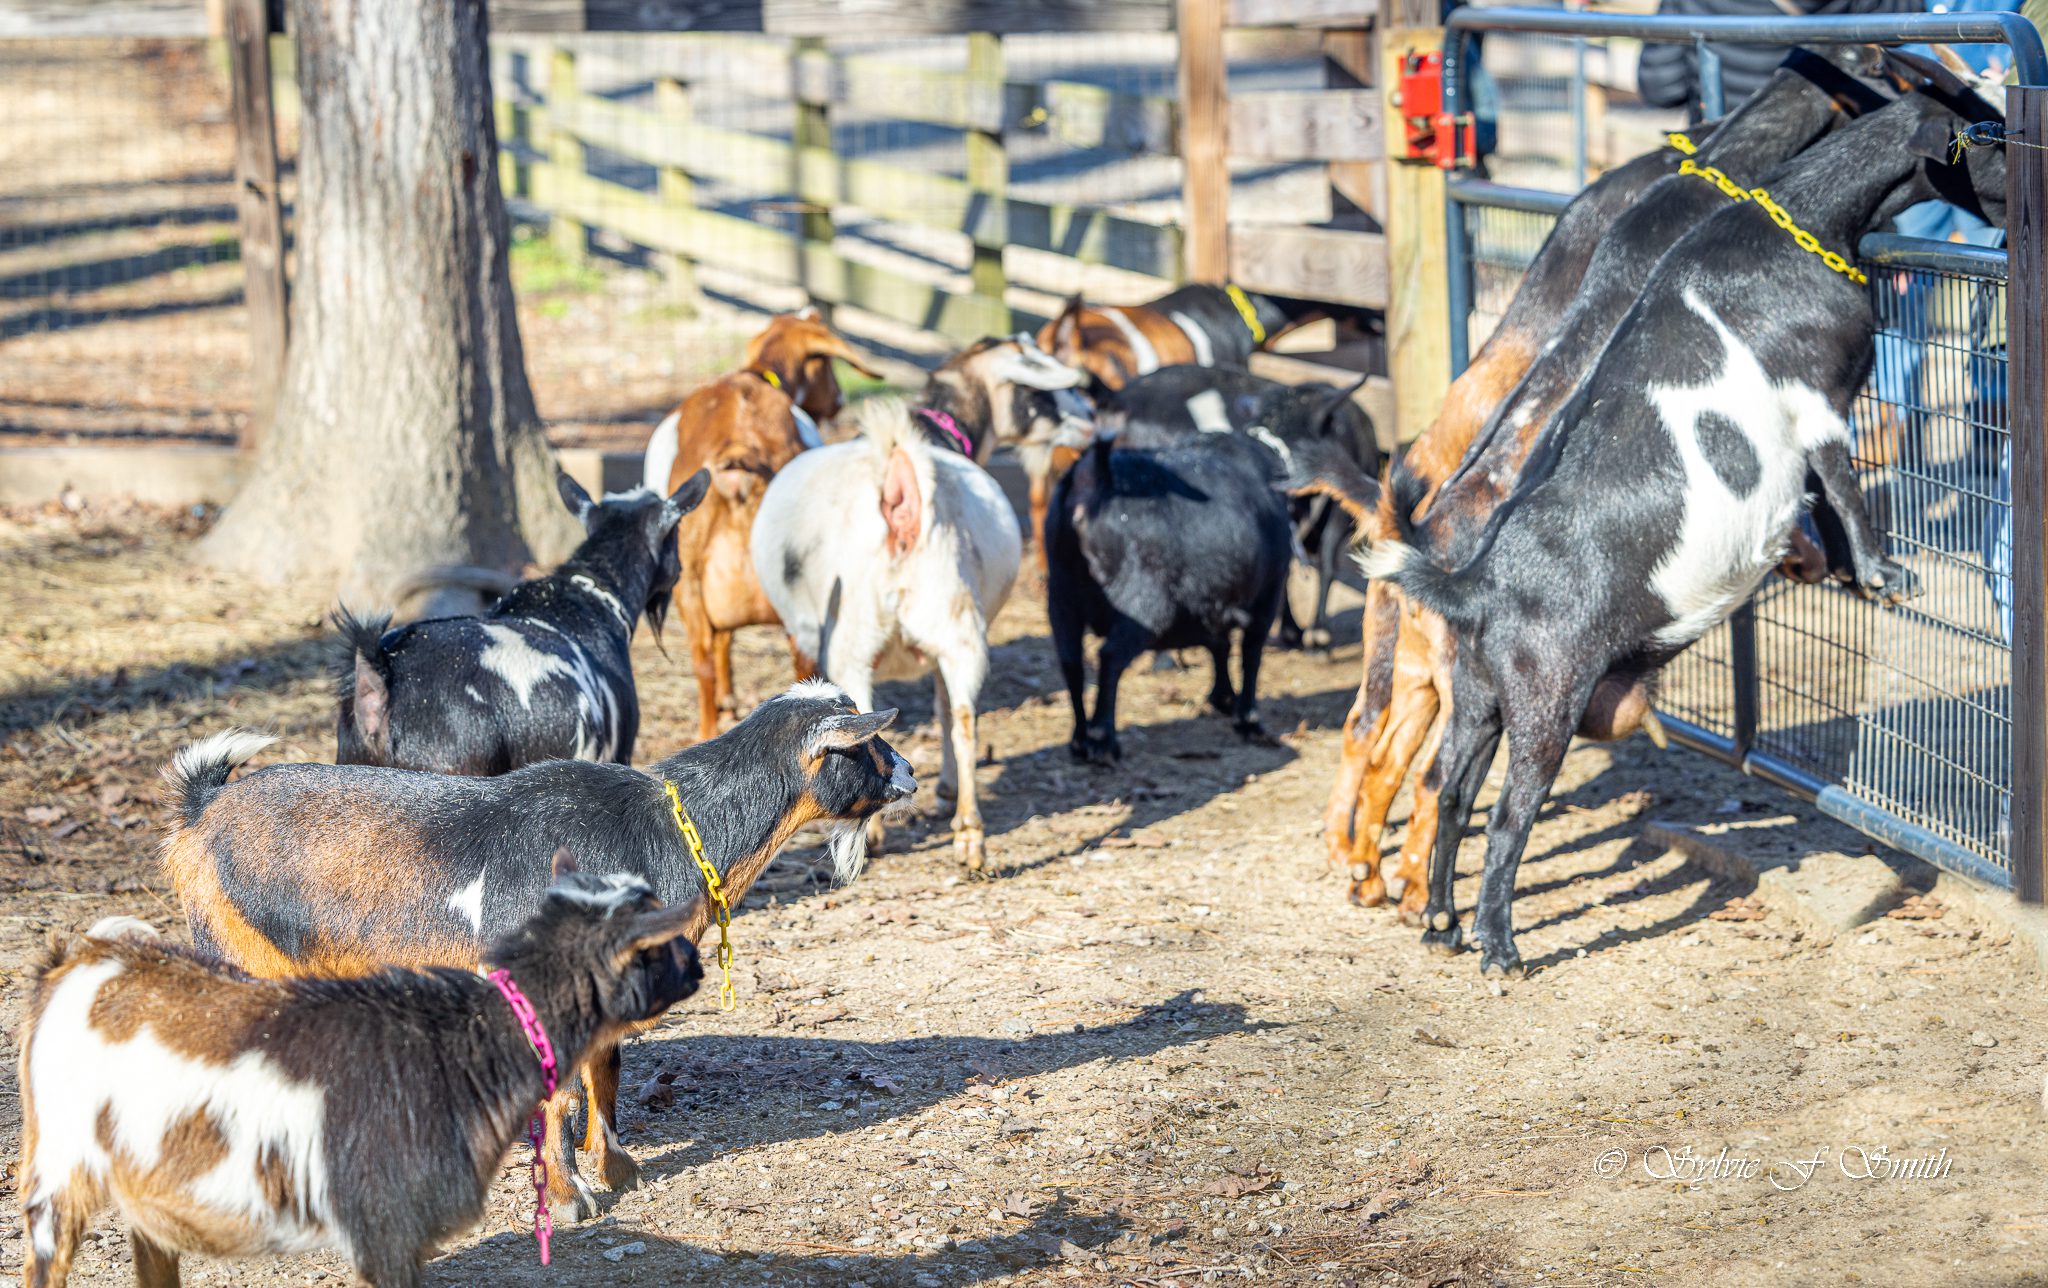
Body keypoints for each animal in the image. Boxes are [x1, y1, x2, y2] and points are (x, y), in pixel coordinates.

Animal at [158, 682, 913, 1221]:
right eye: (869, 744)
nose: (908, 773)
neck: (665, 828)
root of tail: (202, 808)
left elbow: (605, 1070)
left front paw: (616, 1167)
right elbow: (561, 1092)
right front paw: (572, 1198)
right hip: (238, 952)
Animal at [750, 398, 1023, 871]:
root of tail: (901, 495)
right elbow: (945, 708)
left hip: (852, 637)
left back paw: (875, 834)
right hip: (955, 622)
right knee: (965, 720)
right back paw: (970, 835)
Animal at [1046, 429, 1293, 764]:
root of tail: (1093, 477)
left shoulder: (1214, 598)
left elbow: (1220, 643)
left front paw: (1223, 697)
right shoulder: (1268, 594)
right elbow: (1250, 653)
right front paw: (1248, 720)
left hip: (1061, 599)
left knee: (1071, 661)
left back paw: (1080, 740)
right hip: (1142, 605)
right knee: (1110, 657)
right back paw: (1103, 741)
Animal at [1358, 79, 2006, 977]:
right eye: (1987, 132)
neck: (1803, 221)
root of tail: (1475, 586)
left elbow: (1821, 500)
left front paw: (1849, 575)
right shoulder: (1817, 399)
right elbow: (1842, 486)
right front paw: (1888, 578)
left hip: (1480, 695)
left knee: (1449, 793)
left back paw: (1442, 927)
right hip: (1545, 693)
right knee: (1507, 815)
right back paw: (1501, 950)